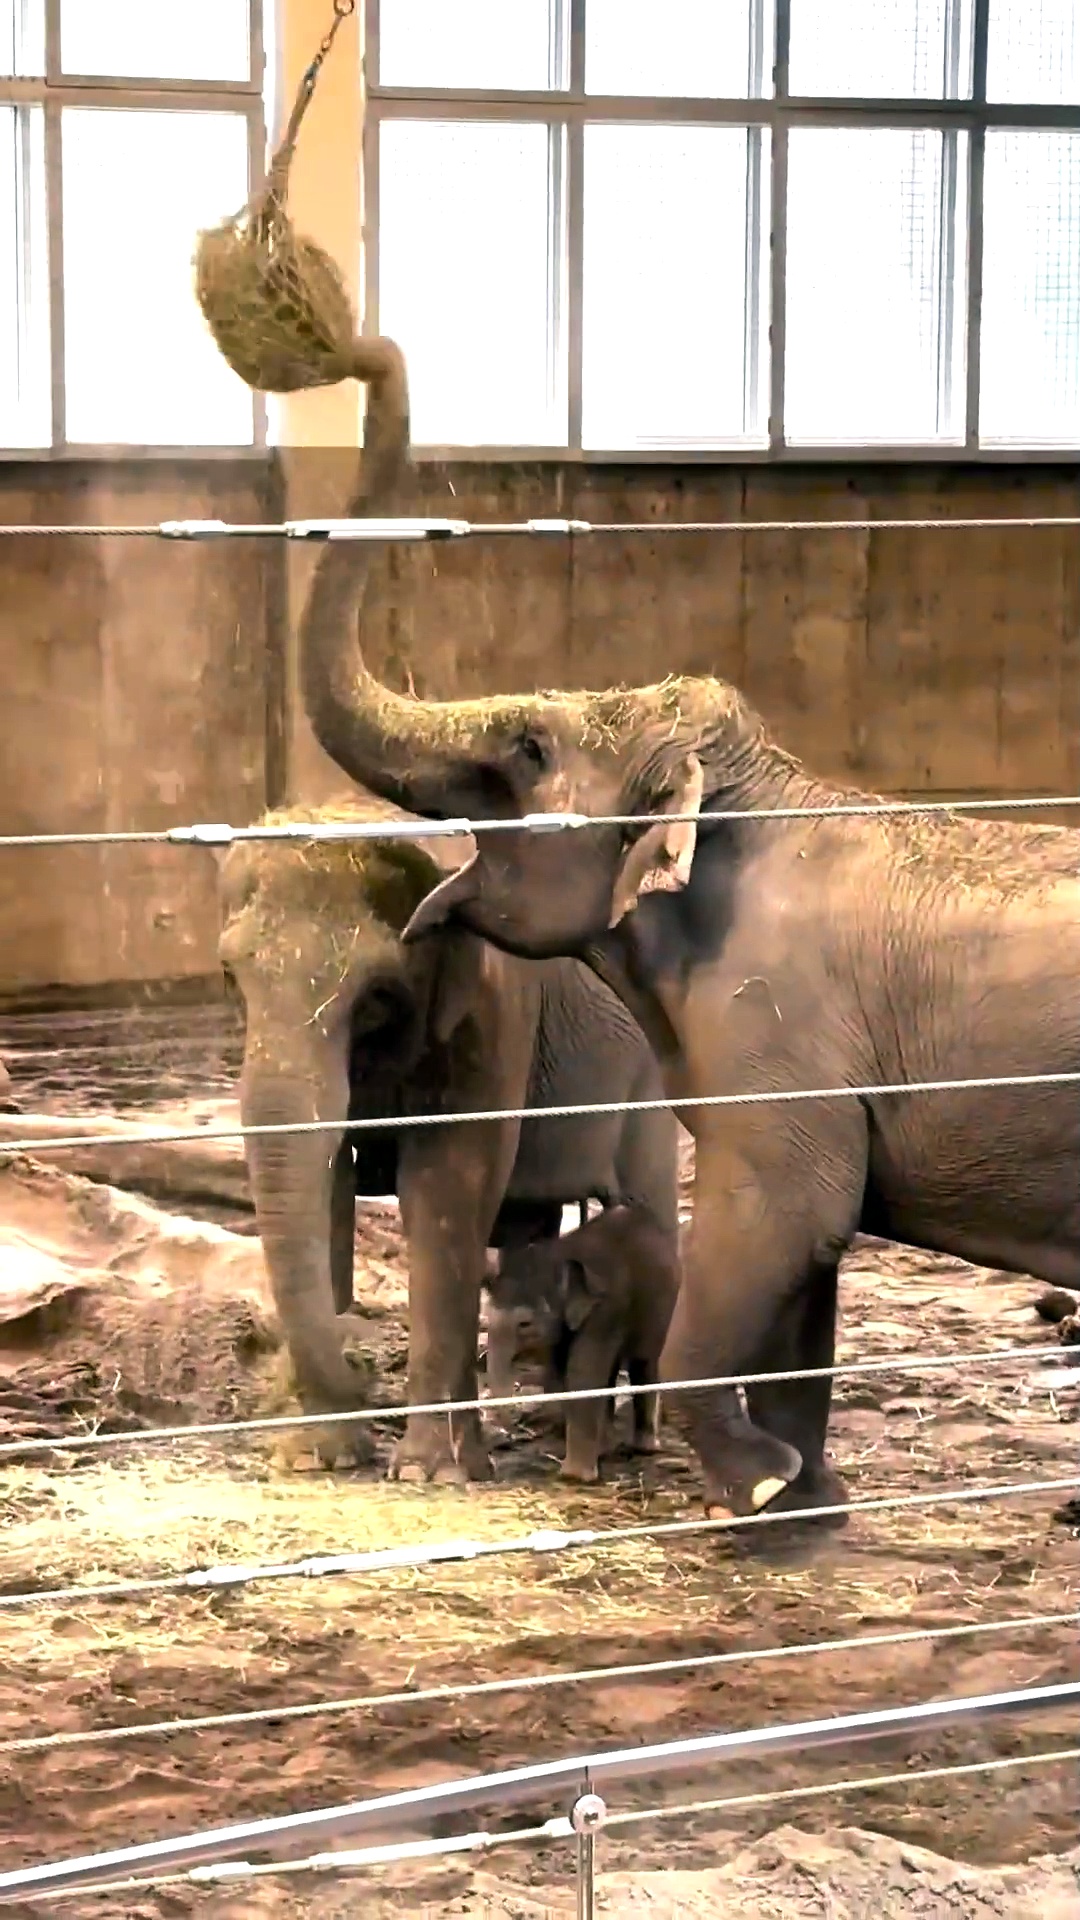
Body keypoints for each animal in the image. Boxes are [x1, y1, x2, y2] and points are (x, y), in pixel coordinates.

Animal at [484, 1202, 680, 1481]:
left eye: (525, 1324)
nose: (509, 1435)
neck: (557, 1255)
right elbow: (561, 1373)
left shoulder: (606, 1309)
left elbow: (583, 1371)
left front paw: (575, 1476)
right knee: (611, 1373)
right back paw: (606, 1446)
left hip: (663, 1304)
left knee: (643, 1361)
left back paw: (645, 1448)